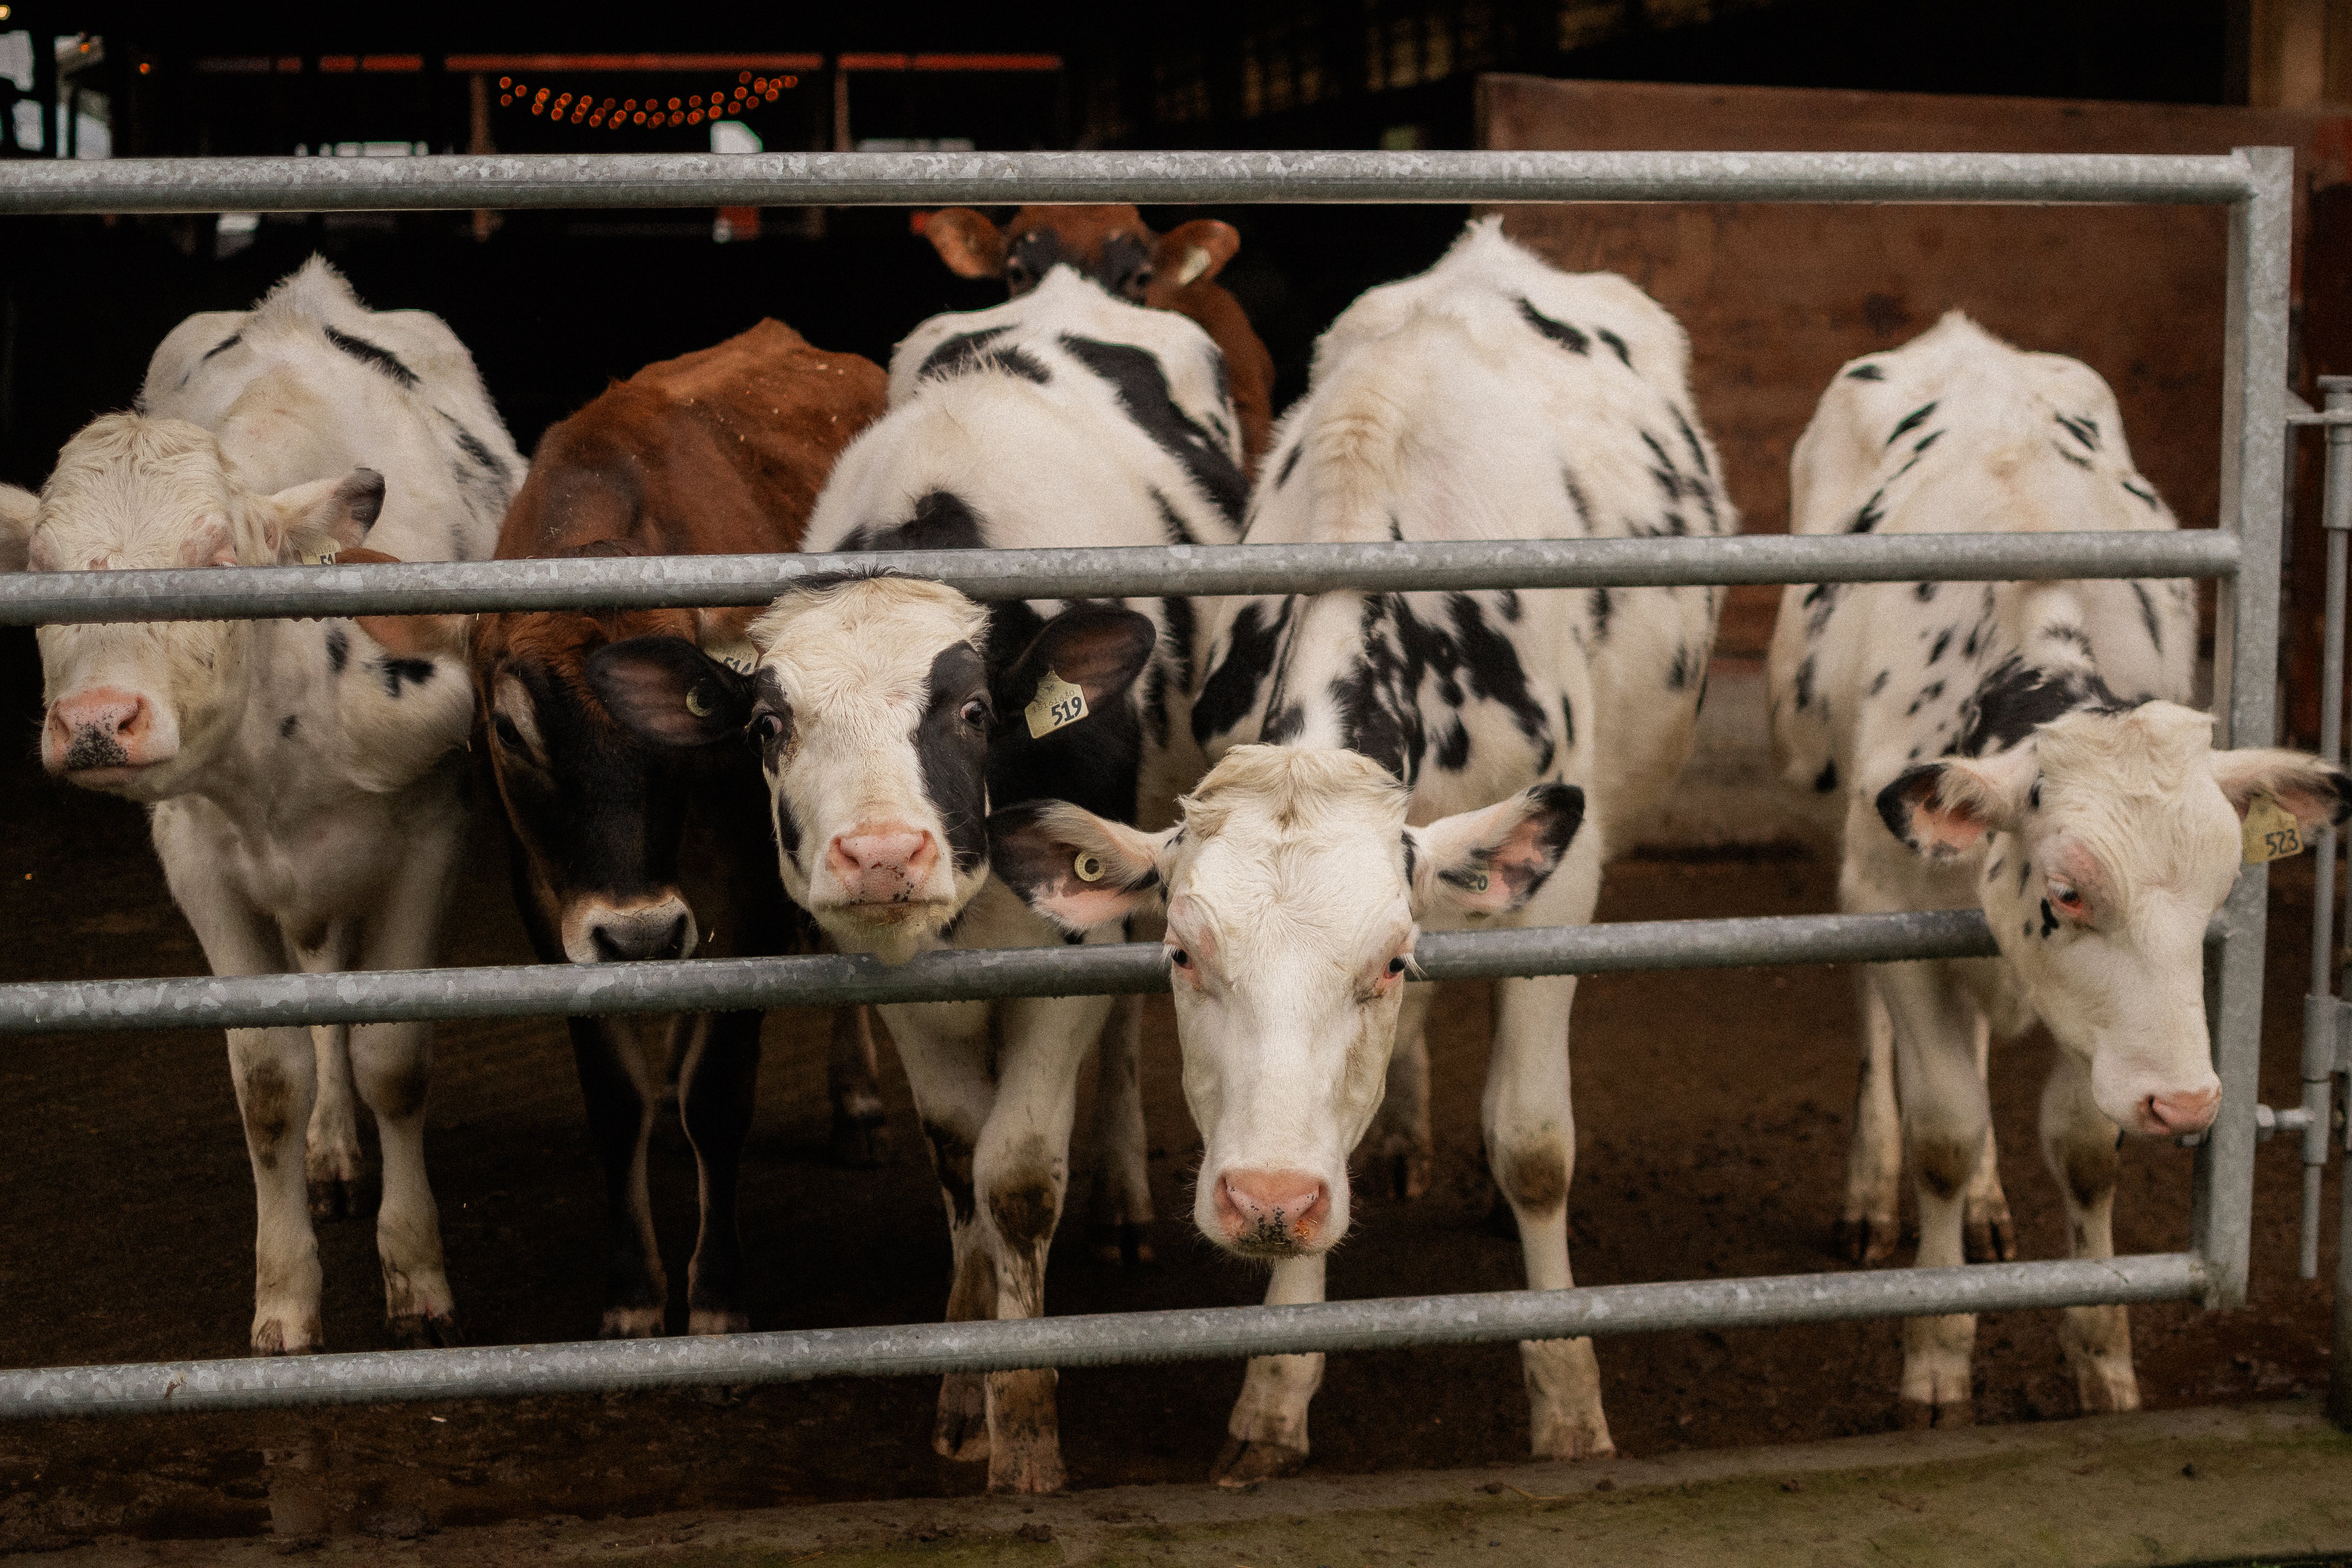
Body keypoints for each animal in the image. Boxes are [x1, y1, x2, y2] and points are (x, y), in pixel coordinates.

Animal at [0, 257, 523, 1353]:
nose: (96, 723)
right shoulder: (199, 855)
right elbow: (269, 1077)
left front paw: (417, 1275)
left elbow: (393, 1057)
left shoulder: (433, 829)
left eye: (216, 559)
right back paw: (333, 1152)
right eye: (40, 570)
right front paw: (285, 1296)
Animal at [384, 319, 889, 1338]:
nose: (643, 933)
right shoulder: (551, 904)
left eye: (696, 712)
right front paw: (630, 1293)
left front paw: (716, 1295)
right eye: (509, 731)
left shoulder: (748, 897)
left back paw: (855, 1096)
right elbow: (615, 1100)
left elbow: (719, 1092)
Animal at [589, 265, 1247, 1491]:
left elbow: (1017, 1176)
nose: (882, 855)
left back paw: (1125, 1201)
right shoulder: (894, 978)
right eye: (767, 725)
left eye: (977, 711)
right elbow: (957, 1163)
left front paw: (1025, 1428)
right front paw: (959, 1391)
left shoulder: (1063, 957)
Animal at [986, 218, 1734, 1482]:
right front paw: (1276, 1393)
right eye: (1182, 955)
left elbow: (1536, 1143)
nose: (1265, 1199)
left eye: (1383, 960)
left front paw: (1567, 1399)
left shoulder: (1560, 883)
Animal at [1763, 311, 2348, 1427]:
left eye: (2220, 897)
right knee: (1875, 1024)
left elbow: (2079, 1148)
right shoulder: (1892, 902)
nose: (2188, 1107)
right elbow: (1945, 1128)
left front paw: (2103, 1359)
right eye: (2068, 891)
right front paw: (1936, 1358)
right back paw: (1870, 1186)